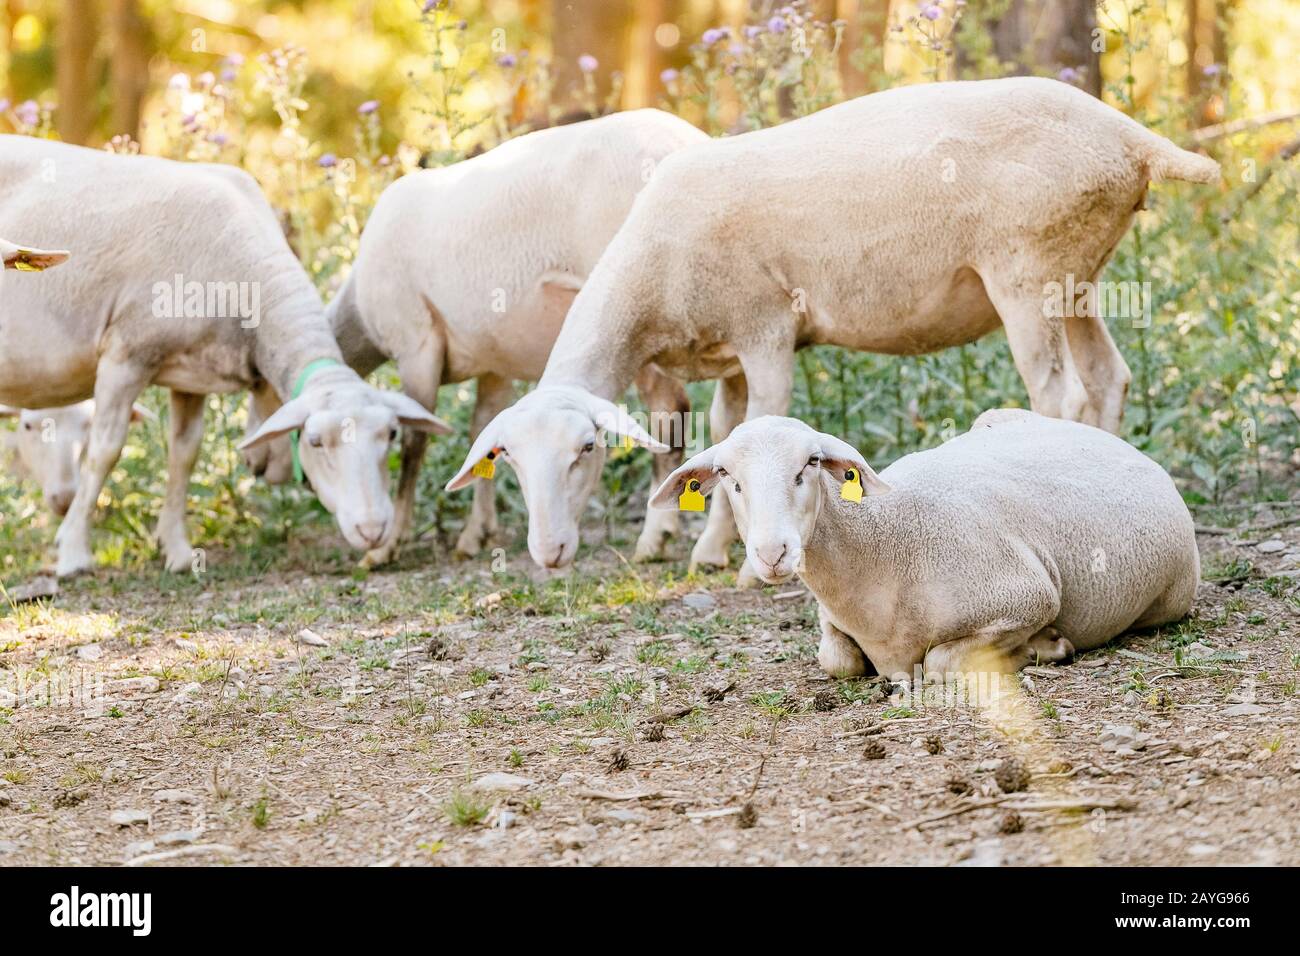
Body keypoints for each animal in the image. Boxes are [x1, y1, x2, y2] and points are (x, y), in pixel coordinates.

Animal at [257, 109, 705, 567]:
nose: (255, 468)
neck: (360, 318)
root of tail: (688, 140)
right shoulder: (495, 360)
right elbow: (483, 432)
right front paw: (477, 532)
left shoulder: (416, 342)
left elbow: (415, 444)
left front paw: (389, 544)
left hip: (638, 304)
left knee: (670, 411)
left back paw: (656, 536)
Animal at [447, 76, 1220, 577]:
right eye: (507, 461)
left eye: (587, 450)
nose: (547, 553)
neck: (648, 279)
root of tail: (1129, 138)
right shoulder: (726, 350)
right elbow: (722, 435)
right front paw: (711, 549)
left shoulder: (764, 331)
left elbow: (756, 421)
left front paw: (728, 559)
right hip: (1079, 273)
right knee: (1110, 380)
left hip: (1026, 271)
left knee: (1062, 394)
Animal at [648, 412, 1200, 682]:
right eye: (726, 475)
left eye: (811, 462)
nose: (771, 553)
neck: (884, 547)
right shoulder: (832, 621)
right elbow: (838, 660)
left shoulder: (1029, 596)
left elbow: (938, 663)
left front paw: (1042, 647)